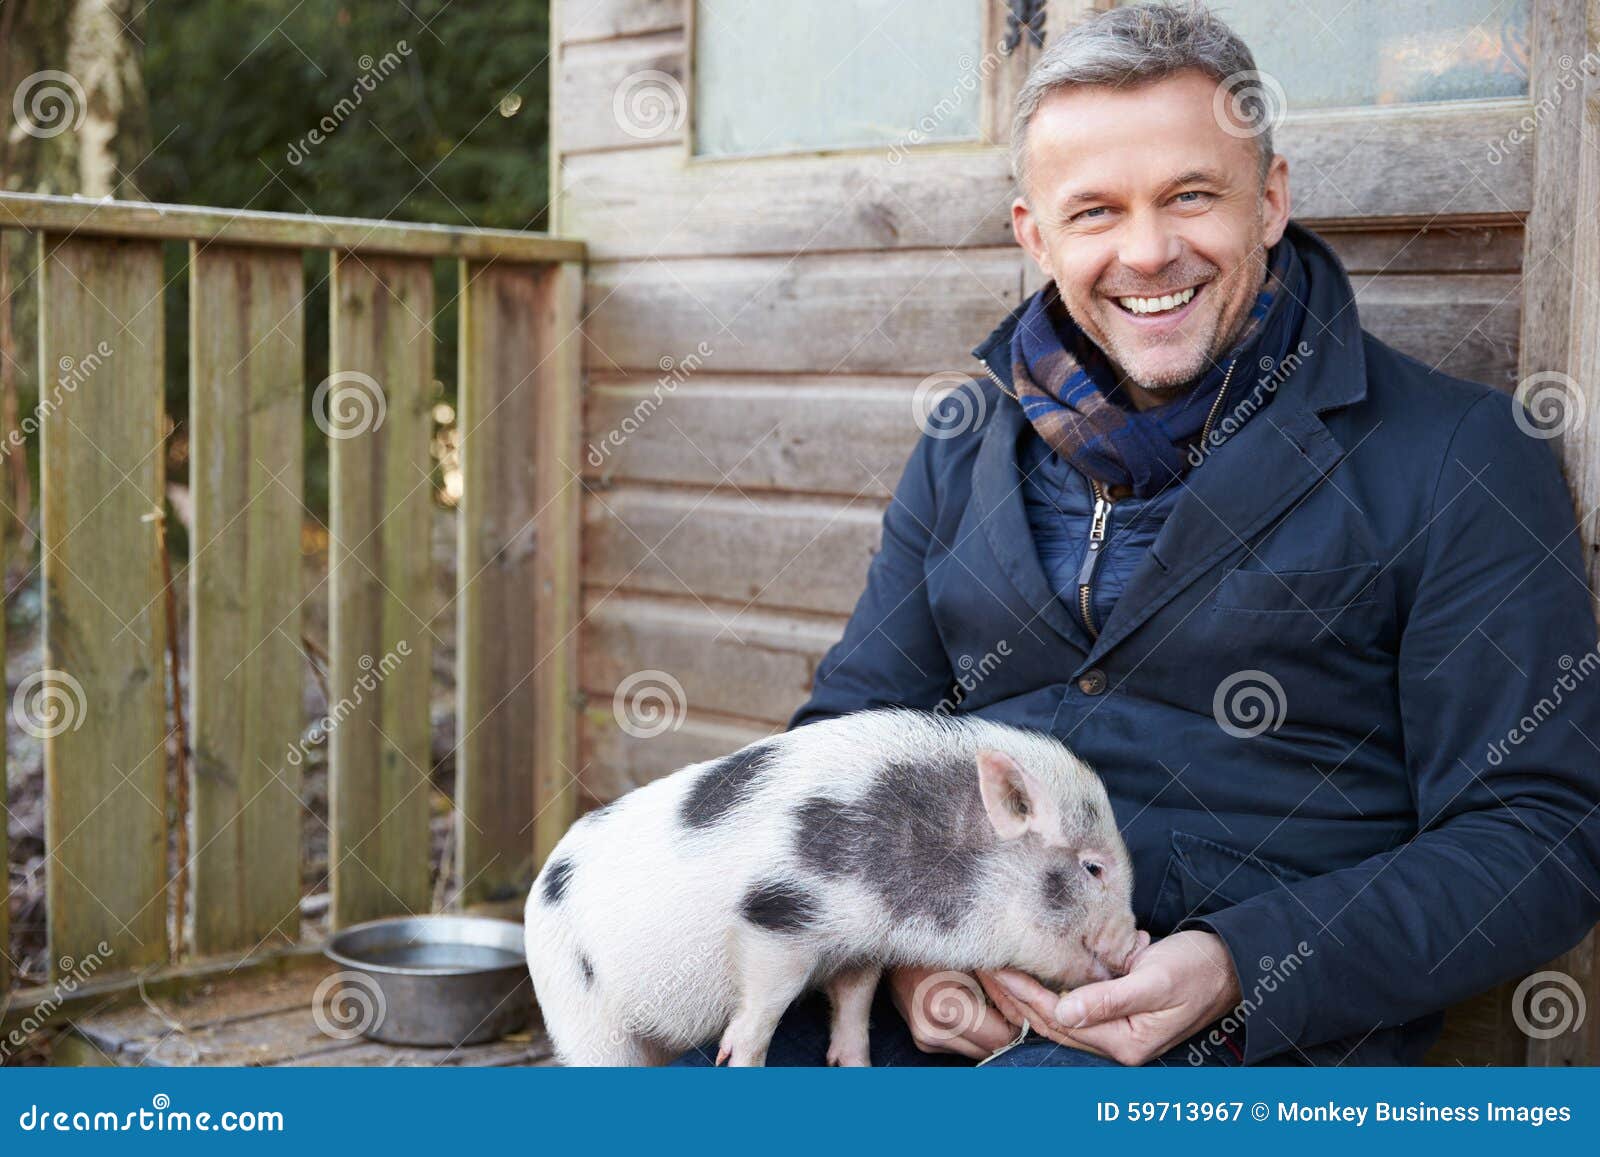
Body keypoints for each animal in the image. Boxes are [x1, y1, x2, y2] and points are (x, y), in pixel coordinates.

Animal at [524, 707, 1141, 1066]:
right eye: (1093, 868)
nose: (1136, 941)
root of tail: (537, 892)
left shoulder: (861, 942)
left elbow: (855, 1001)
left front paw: (852, 1064)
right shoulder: (777, 913)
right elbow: (766, 1005)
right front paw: (734, 1060)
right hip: (581, 1016)